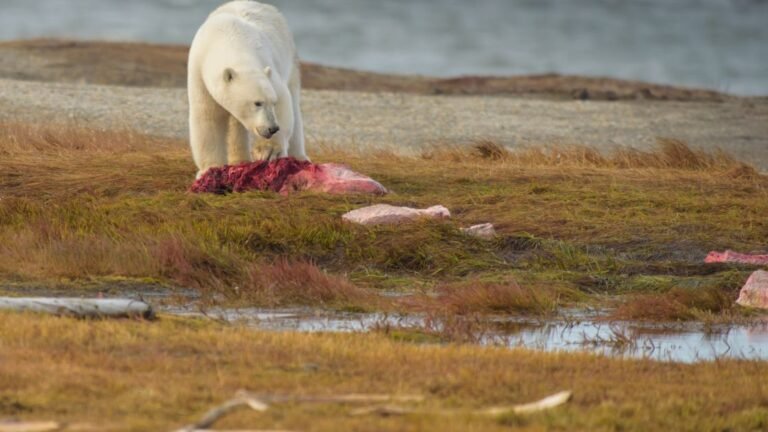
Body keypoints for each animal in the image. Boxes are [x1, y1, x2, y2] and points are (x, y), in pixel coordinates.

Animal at [187, 0, 307, 178]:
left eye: (272, 103)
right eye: (257, 103)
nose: (272, 128)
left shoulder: (268, 69)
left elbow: (284, 100)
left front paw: (269, 150)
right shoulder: (199, 73)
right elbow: (207, 117)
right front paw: (210, 170)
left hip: (290, 58)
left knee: (293, 103)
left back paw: (300, 157)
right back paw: (239, 160)